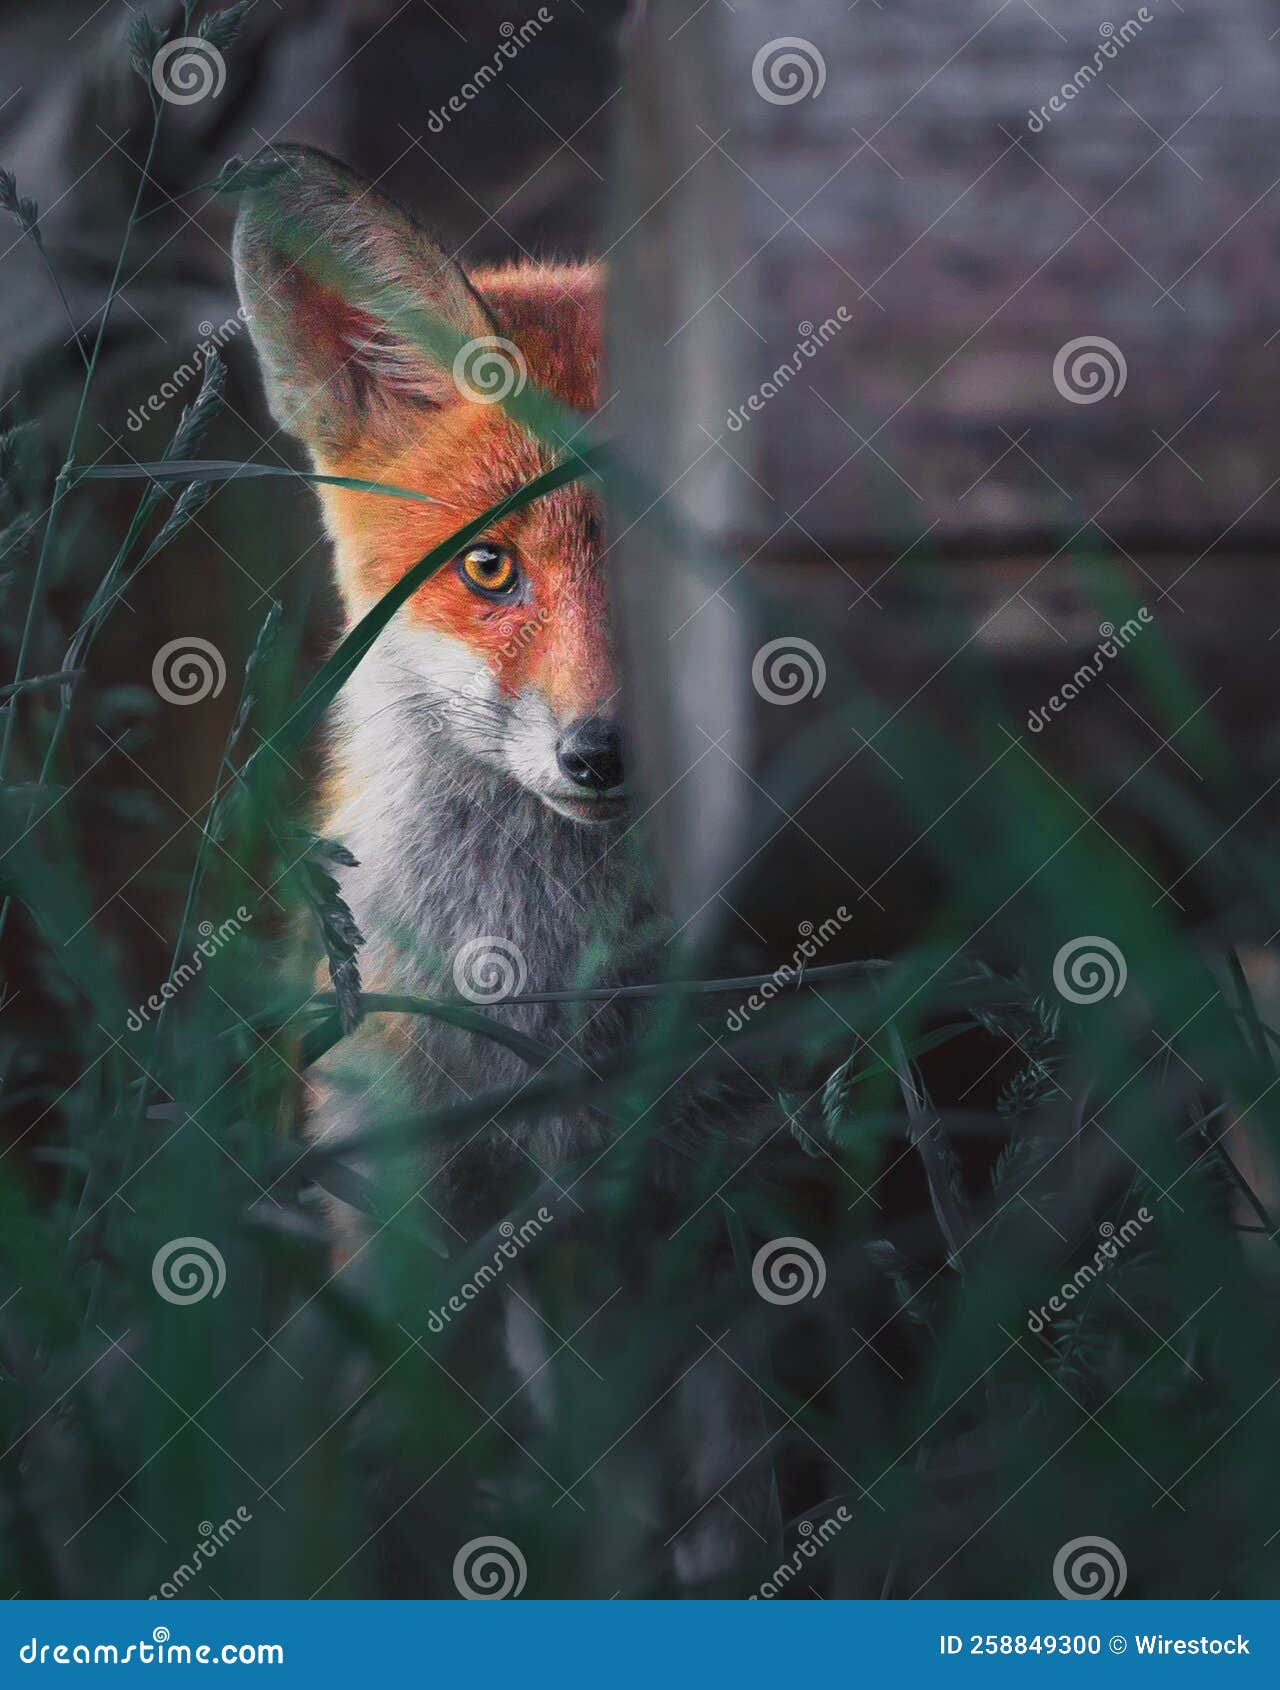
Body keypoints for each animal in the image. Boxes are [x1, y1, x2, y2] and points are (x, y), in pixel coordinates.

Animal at [233, 148, 771, 1588]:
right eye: (489, 568)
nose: (601, 753)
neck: (528, 974)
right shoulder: (401, 1194)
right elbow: (423, 1453)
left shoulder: (700, 1200)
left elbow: (692, 1505)